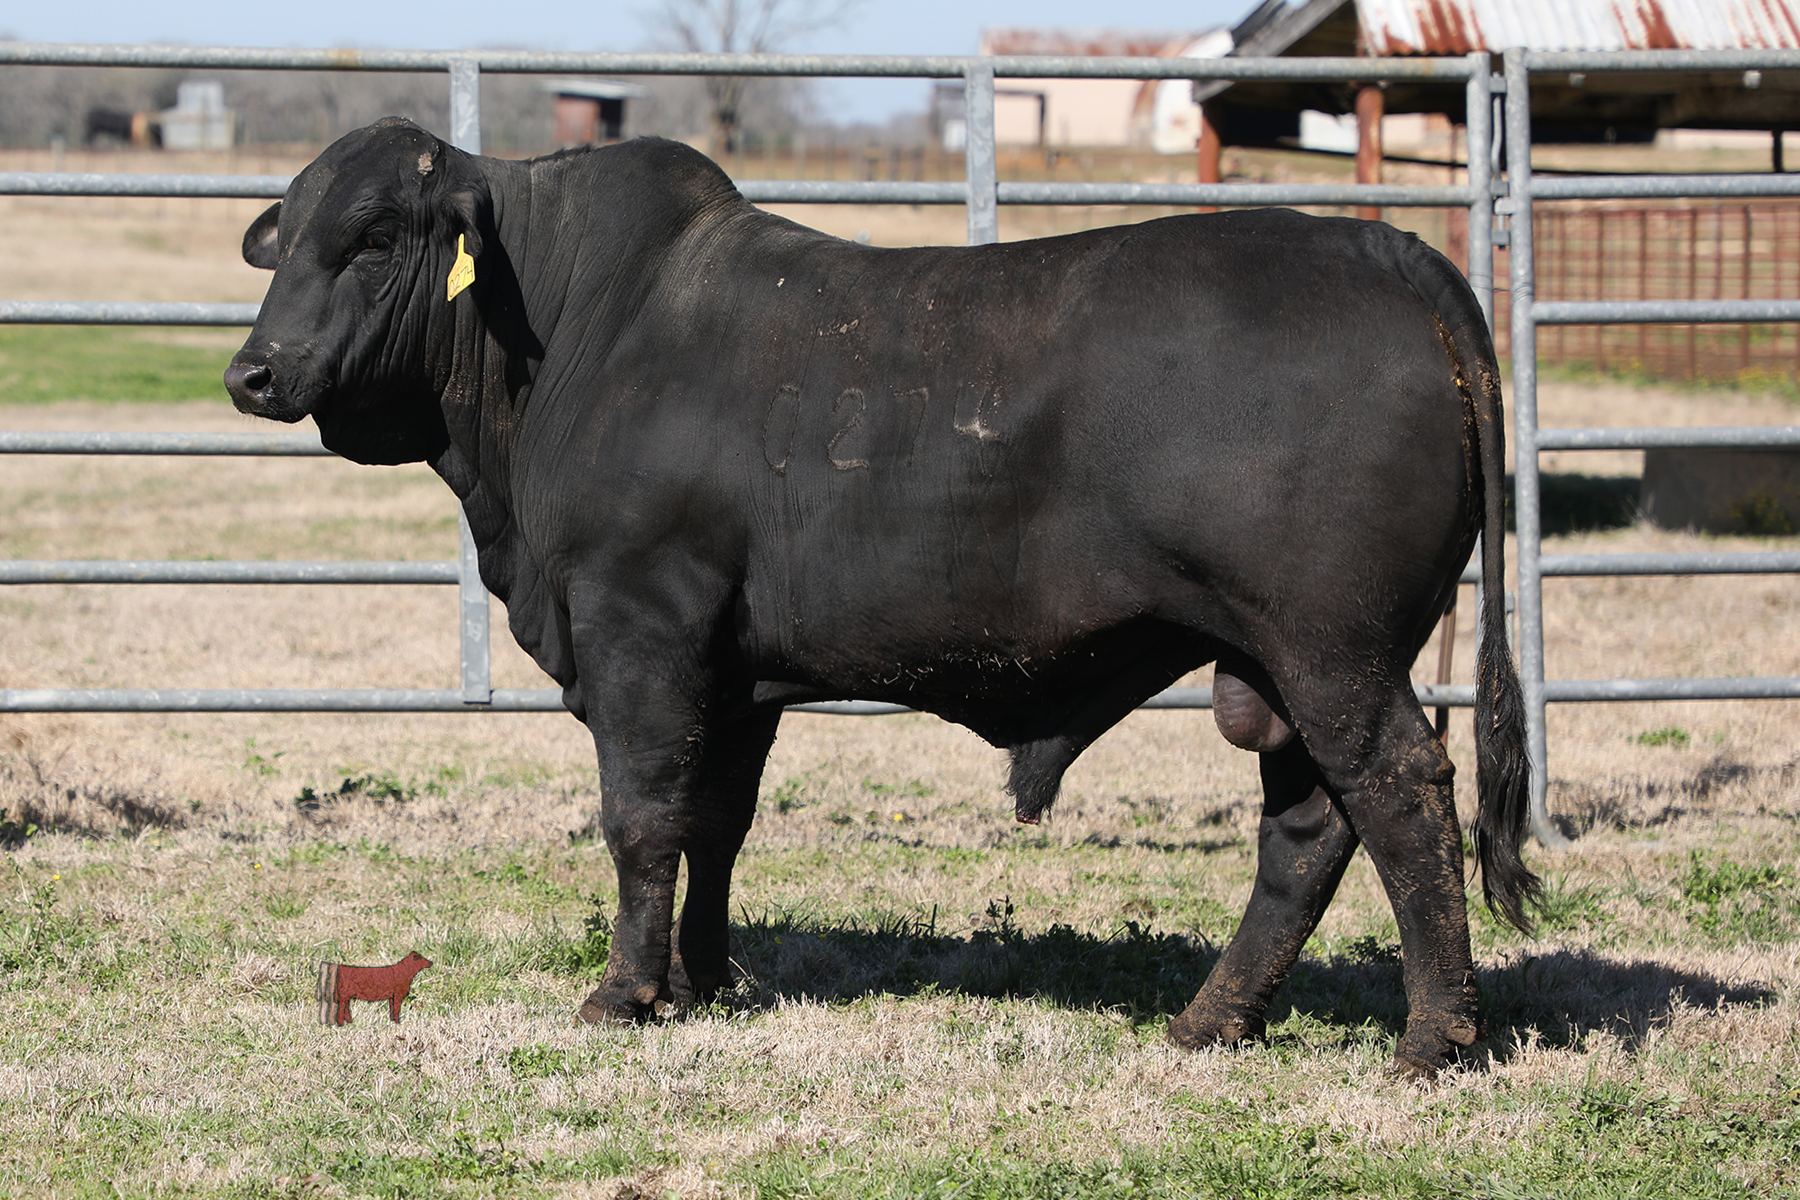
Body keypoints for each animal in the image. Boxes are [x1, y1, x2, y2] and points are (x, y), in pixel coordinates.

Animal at [226, 117, 1537, 1078]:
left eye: (375, 236)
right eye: (283, 242)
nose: (255, 372)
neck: (566, 340)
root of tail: (1387, 255)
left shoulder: (639, 625)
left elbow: (642, 818)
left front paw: (625, 993)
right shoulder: (732, 672)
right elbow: (715, 822)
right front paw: (710, 980)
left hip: (1333, 647)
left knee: (1402, 794)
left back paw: (1433, 1040)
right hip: (1273, 663)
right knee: (1308, 827)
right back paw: (1212, 1022)